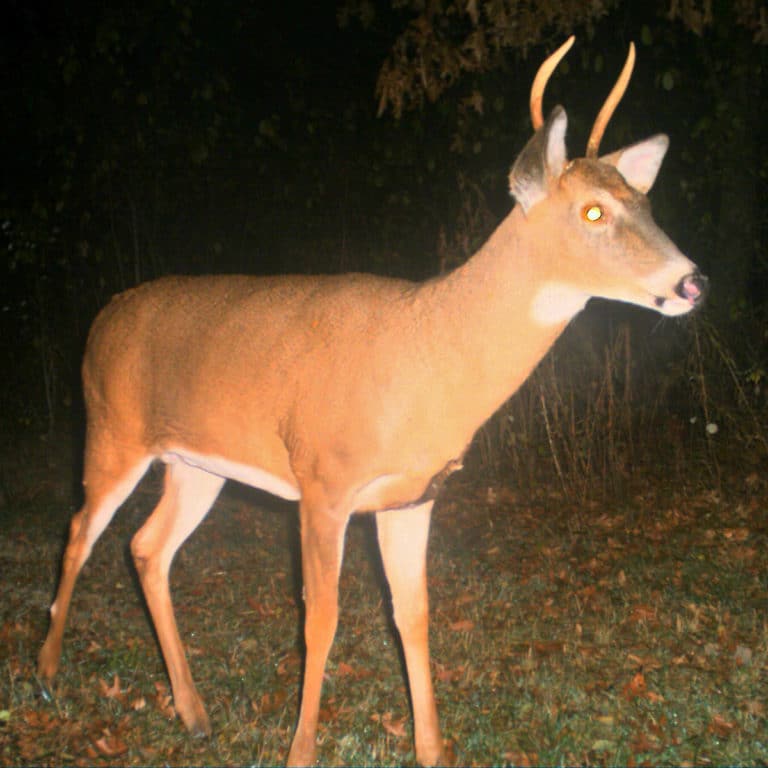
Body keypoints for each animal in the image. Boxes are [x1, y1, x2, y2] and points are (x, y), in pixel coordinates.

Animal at [37, 36, 706, 766]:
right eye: (593, 211)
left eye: (646, 204)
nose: (692, 282)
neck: (428, 356)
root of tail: (104, 315)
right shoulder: (323, 482)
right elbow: (320, 617)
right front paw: (300, 751)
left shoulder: (413, 497)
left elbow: (412, 616)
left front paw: (432, 750)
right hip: (112, 429)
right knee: (78, 531)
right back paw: (46, 673)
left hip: (196, 465)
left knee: (146, 547)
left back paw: (193, 713)